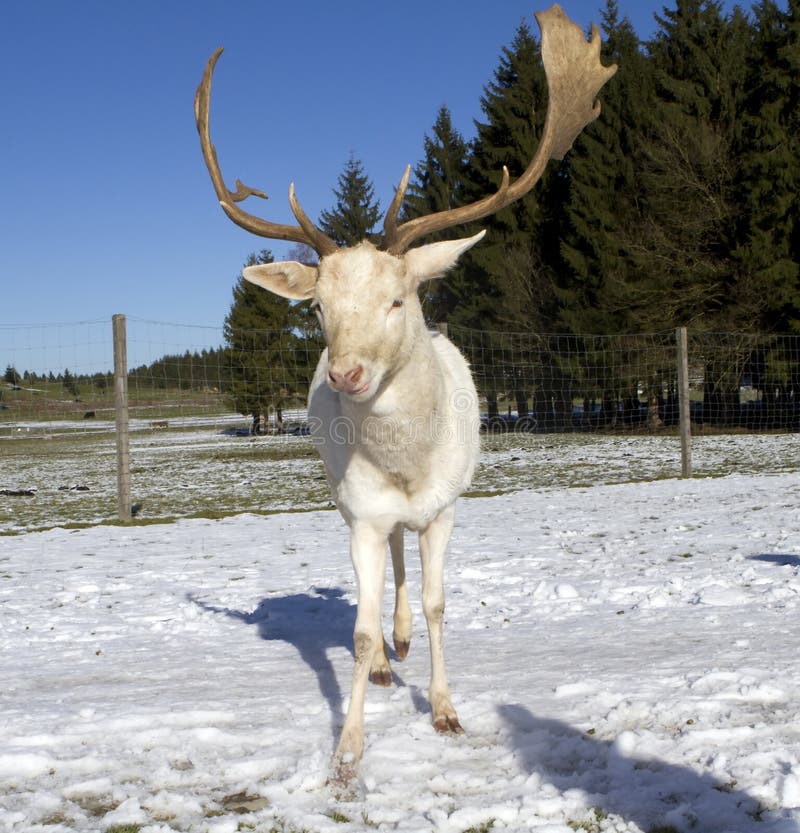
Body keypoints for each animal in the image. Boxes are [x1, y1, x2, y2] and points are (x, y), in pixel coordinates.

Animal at [195, 3, 616, 784]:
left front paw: (447, 710)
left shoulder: (446, 507)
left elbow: (442, 603)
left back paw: (408, 641)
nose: (346, 374)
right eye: (318, 306)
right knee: (386, 563)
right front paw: (348, 751)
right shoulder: (362, 511)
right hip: (346, 500)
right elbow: (359, 634)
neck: (407, 462)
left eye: (398, 298)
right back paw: (394, 653)